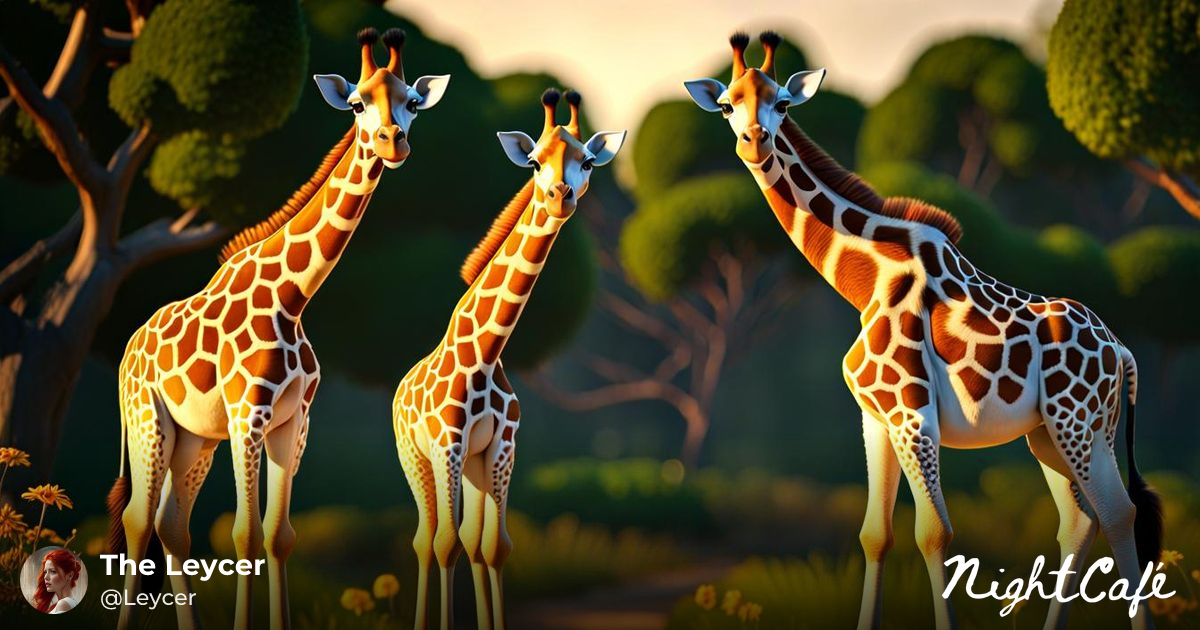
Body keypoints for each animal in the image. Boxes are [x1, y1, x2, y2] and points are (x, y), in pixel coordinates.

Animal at [107, 27, 449, 630]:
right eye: (356, 102)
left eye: (411, 101)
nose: (393, 142)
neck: (292, 298)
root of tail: (129, 347)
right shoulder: (249, 415)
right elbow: (244, 536)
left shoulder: (294, 422)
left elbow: (279, 535)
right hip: (149, 421)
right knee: (137, 521)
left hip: (194, 438)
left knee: (172, 525)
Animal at [392, 89, 625, 630]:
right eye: (535, 161)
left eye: (586, 161)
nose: (561, 196)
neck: (485, 354)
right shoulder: (447, 446)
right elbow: (447, 544)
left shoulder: (500, 449)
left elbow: (493, 547)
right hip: (415, 457)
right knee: (425, 540)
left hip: (473, 466)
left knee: (468, 540)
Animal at [685, 32, 1163, 630]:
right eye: (728, 105)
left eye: (784, 104)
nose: (755, 141)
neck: (866, 279)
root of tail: (1120, 349)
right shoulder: (876, 416)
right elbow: (875, 535)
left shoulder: (913, 414)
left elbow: (934, 533)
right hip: (1049, 432)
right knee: (1082, 520)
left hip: (1078, 423)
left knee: (1118, 513)